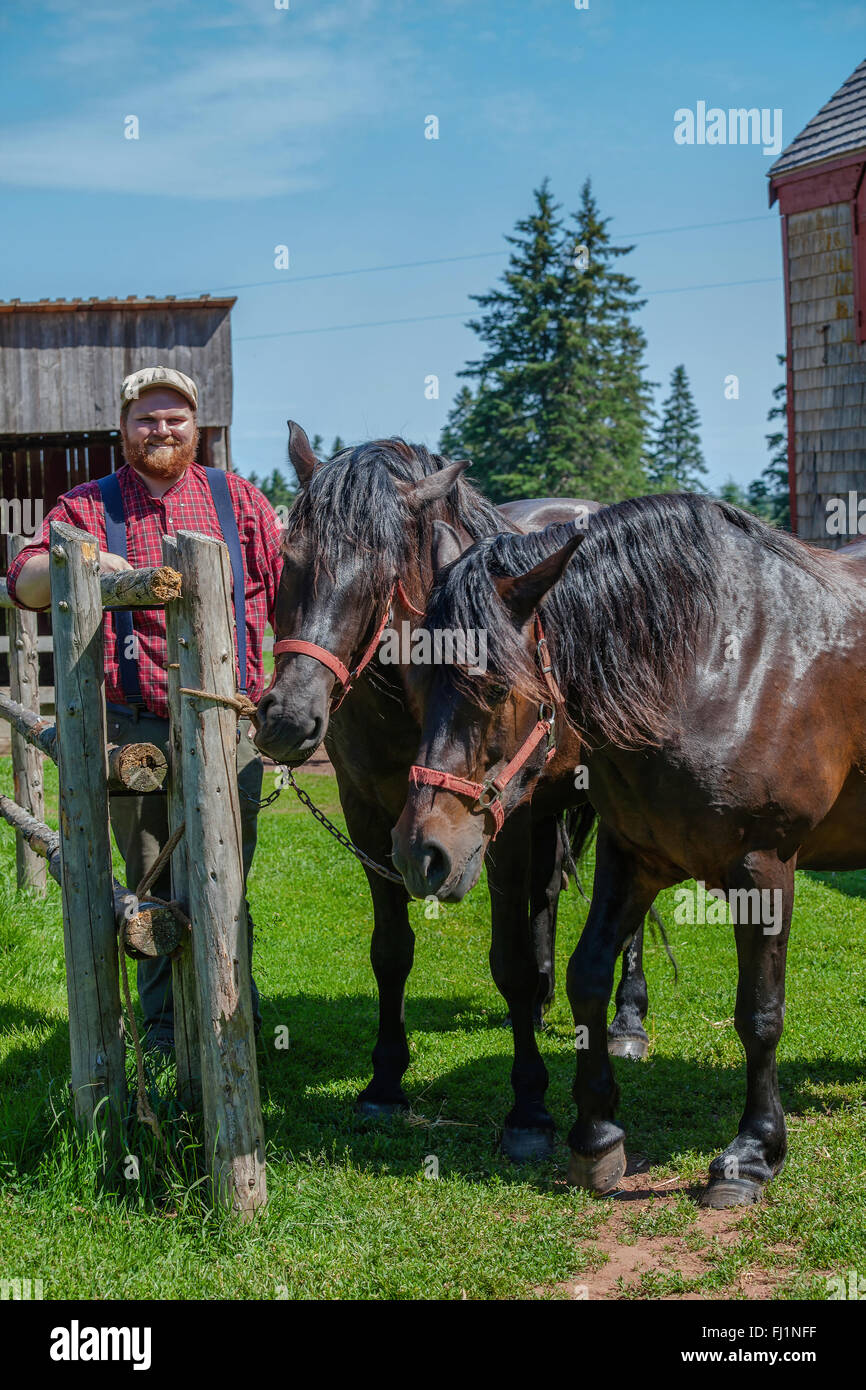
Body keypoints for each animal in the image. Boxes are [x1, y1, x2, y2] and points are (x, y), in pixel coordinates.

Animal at [254, 426, 654, 1160]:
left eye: (381, 577)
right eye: (287, 561)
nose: (288, 719)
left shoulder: (503, 820)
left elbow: (509, 959)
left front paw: (529, 1106)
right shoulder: (370, 817)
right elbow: (391, 950)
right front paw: (385, 1083)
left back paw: (628, 1021)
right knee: (548, 894)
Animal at [391, 492, 866, 1207]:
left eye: (495, 688)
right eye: (417, 686)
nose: (422, 855)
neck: (715, 667)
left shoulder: (764, 868)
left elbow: (759, 1014)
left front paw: (753, 1152)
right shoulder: (633, 858)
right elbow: (586, 975)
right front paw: (597, 1134)